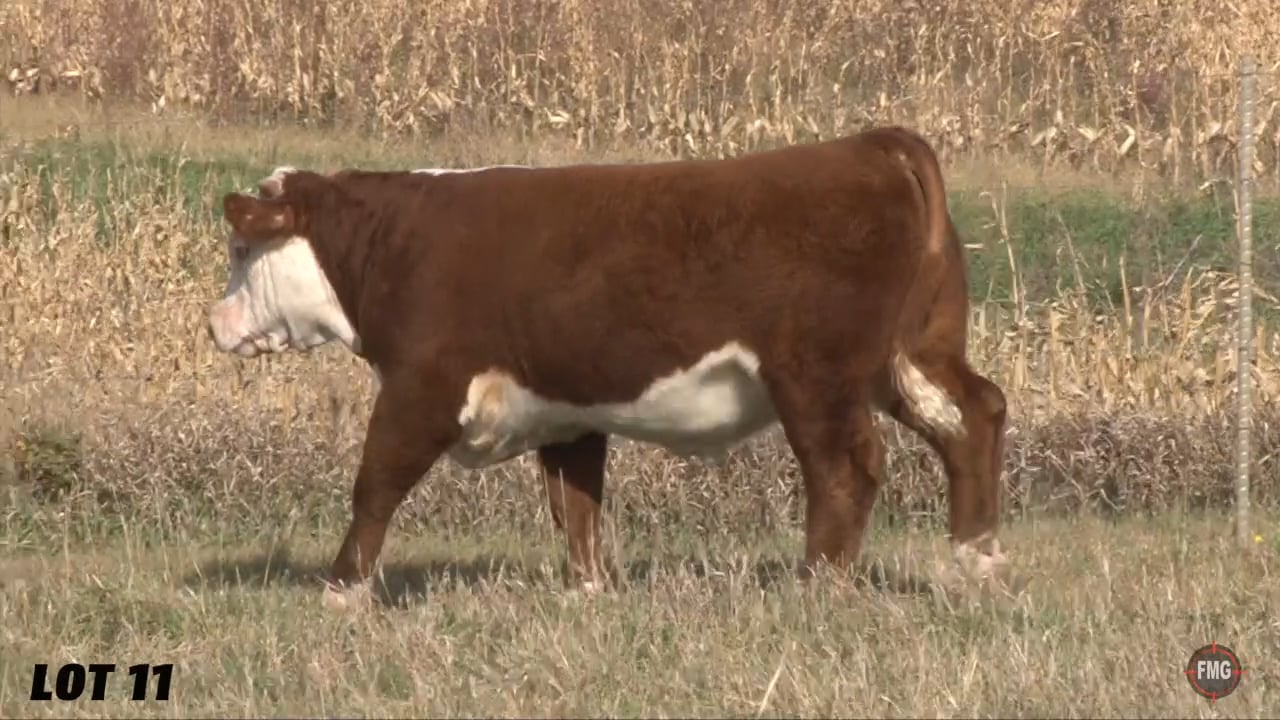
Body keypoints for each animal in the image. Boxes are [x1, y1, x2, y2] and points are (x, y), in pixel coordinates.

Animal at [206, 126, 1011, 608]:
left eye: (242, 251)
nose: (216, 323)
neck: (395, 241)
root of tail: (866, 144)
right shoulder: (567, 409)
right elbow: (576, 504)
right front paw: (585, 592)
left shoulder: (421, 387)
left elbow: (374, 484)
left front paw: (341, 590)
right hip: (912, 355)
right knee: (974, 415)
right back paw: (976, 560)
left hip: (818, 374)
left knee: (845, 466)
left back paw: (817, 583)